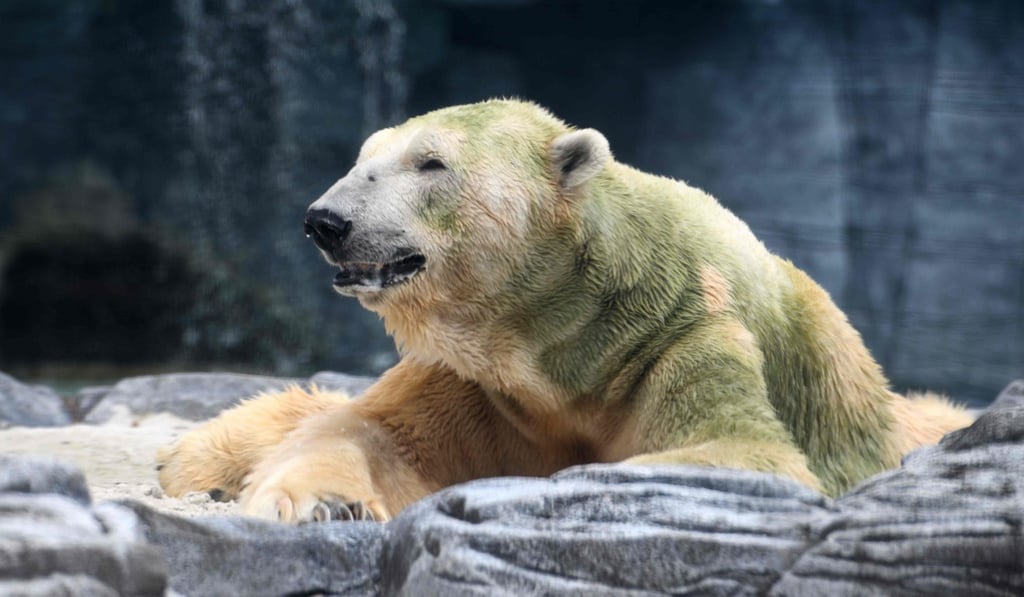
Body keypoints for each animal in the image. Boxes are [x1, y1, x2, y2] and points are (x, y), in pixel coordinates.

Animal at [157, 99, 972, 522]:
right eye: (362, 160)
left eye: (430, 162)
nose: (327, 221)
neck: (571, 343)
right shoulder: (478, 377)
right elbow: (374, 434)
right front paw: (324, 503)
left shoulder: (690, 339)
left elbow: (744, 450)